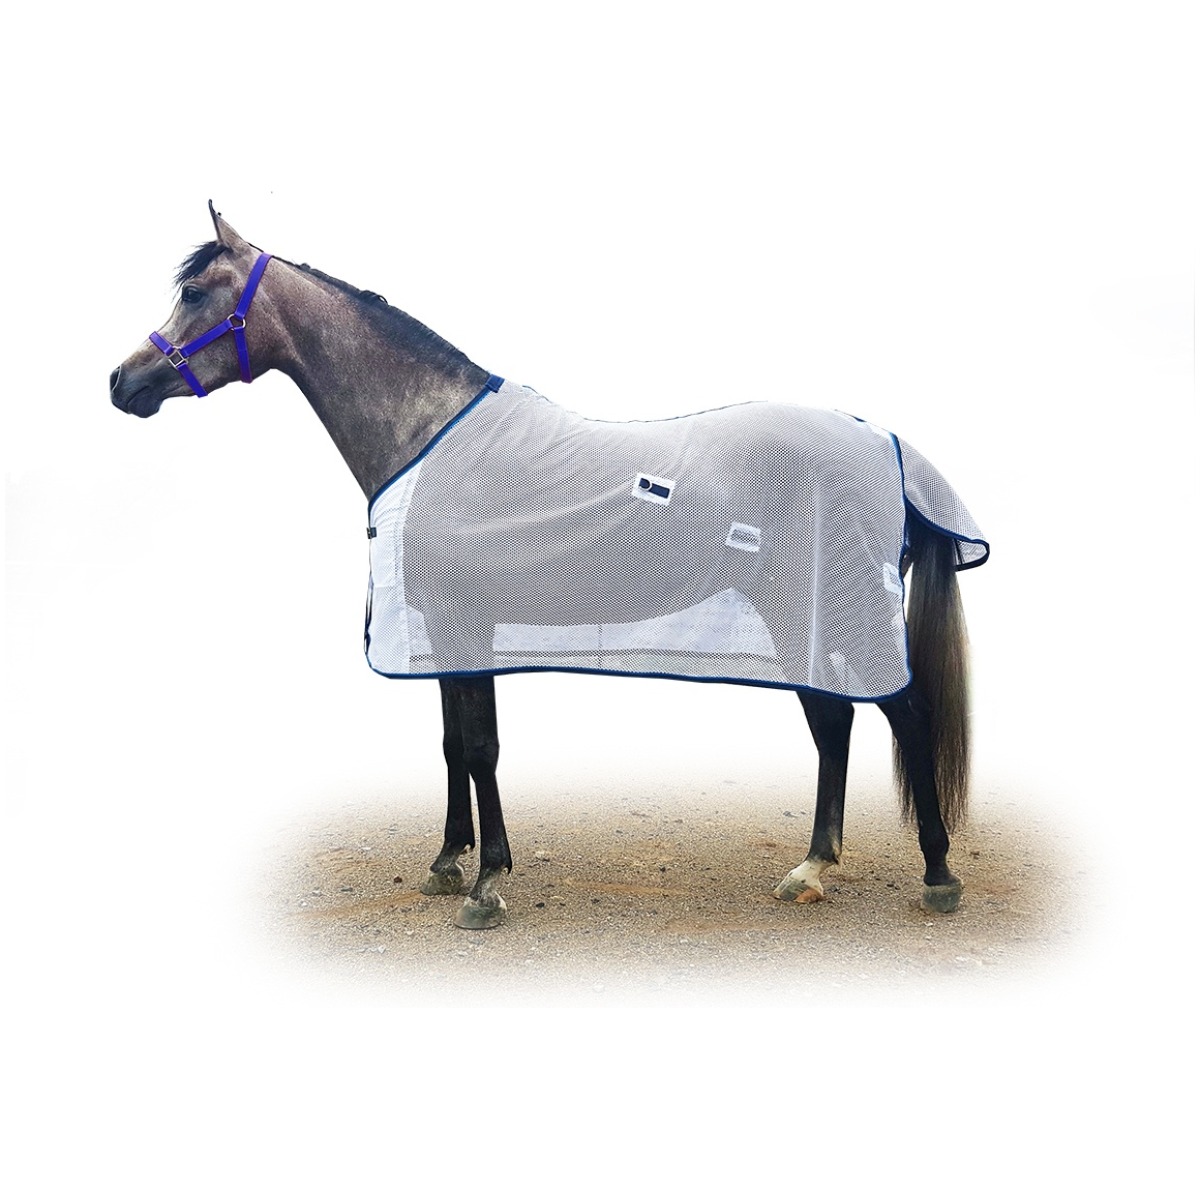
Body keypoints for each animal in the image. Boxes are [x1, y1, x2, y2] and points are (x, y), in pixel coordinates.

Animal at [110, 203, 988, 930]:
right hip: (792, 604)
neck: (431, 436)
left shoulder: (465, 620)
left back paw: (938, 876)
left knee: (904, 716)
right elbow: (452, 744)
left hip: (838, 605)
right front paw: (447, 863)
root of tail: (882, 439)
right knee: (834, 723)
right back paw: (810, 870)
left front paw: (487, 886)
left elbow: (480, 748)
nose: (123, 381)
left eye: (196, 292)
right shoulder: (448, 627)